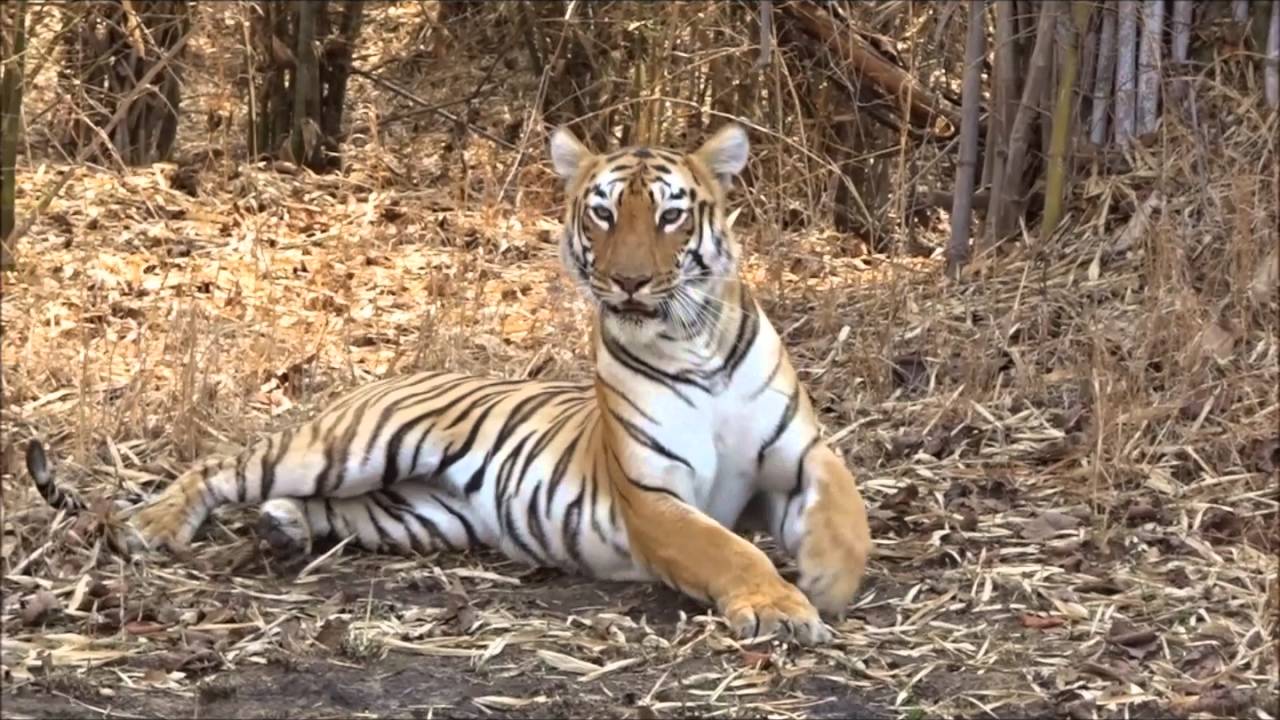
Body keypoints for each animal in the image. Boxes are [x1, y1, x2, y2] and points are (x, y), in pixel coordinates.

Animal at [24, 123, 873, 645]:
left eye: (669, 216)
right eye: (601, 214)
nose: (630, 282)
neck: (692, 339)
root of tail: (382, 380)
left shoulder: (802, 452)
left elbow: (849, 509)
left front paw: (825, 576)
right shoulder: (654, 496)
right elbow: (728, 551)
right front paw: (780, 605)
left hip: (415, 513)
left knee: (323, 512)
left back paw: (283, 528)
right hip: (343, 449)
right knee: (217, 468)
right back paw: (154, 524)